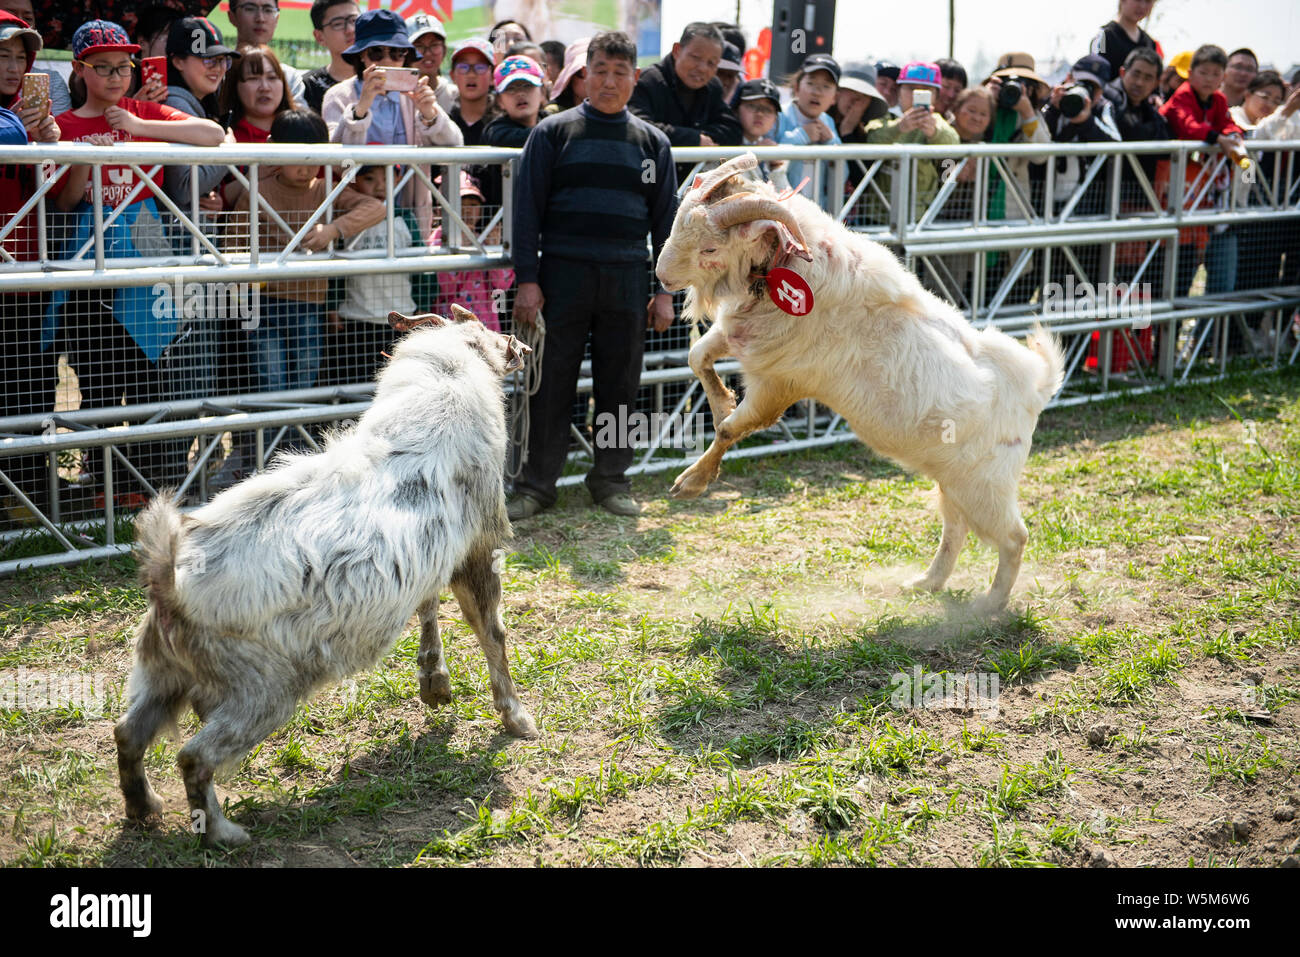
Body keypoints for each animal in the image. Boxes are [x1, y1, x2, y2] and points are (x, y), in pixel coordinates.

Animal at [113, 305, 535, 846]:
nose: (523, 348)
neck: (444, 383)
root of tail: (172, 586)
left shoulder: (432, 554)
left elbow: (427, 605)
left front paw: (435, 684)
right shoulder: (480, 546)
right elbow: (491, 631)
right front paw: (516, 717)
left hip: (160, 672)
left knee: (129, 733)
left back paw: (144, 808)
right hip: (261, 691)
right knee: (194, 756)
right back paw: (224, 833)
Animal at [655, 153, 1065, 614]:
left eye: (710, 248)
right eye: (677, 224)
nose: (662, 278)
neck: (792, 268)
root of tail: (1036, 388)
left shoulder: (778, 382)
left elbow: (730, 429)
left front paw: (690, 482)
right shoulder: (739, 336)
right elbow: (697, 358)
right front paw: (721, 401)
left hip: (987, 487)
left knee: (1014, 538)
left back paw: (988, 605)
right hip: (955, 483)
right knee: (955, 529)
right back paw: (925, 583)